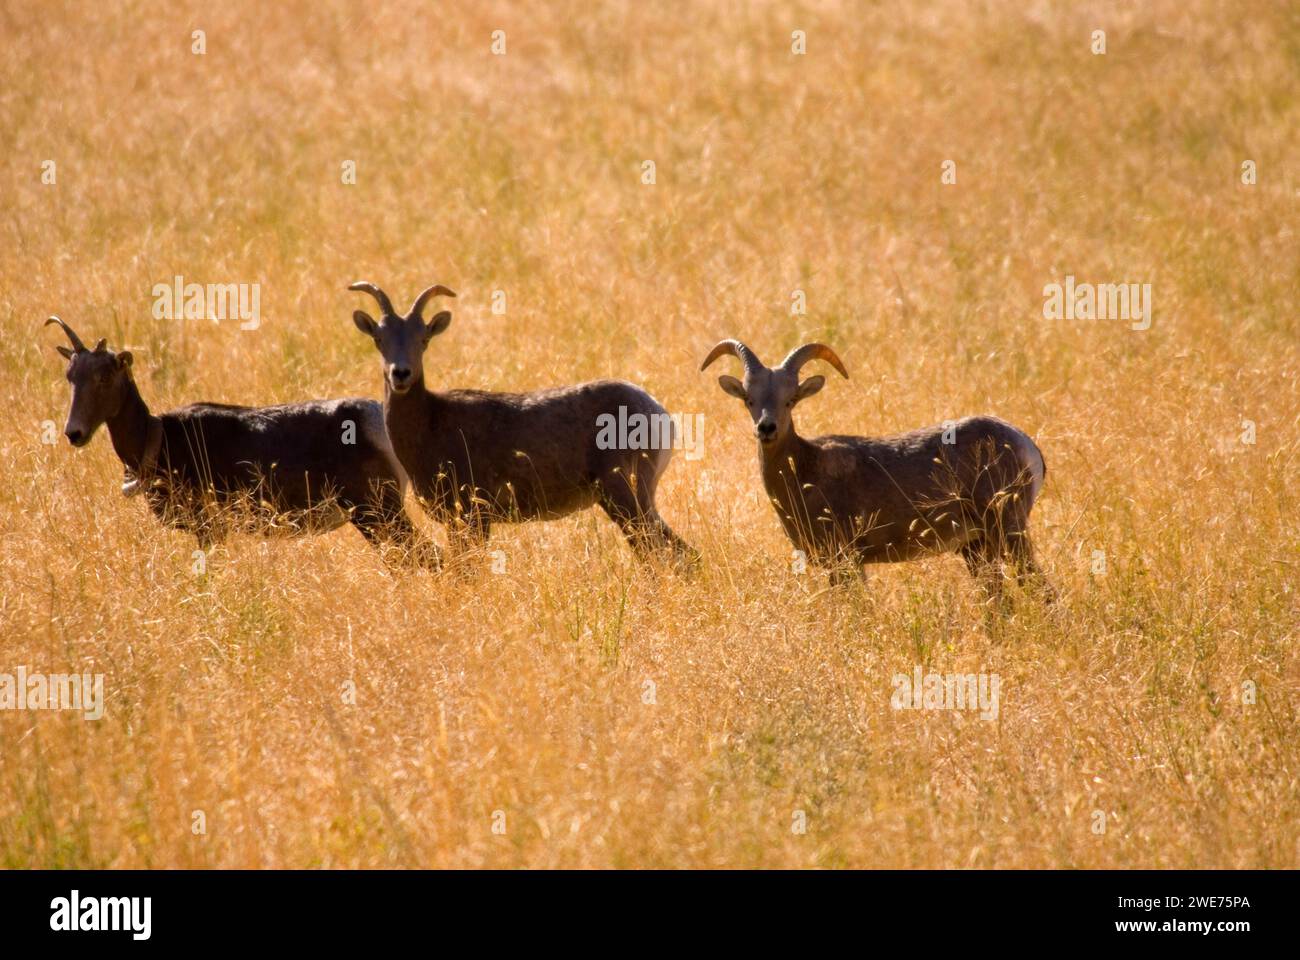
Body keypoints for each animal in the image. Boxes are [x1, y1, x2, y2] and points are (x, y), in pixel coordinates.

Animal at [45, 316, 439, 568]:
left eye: (105, 375)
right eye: (70, 375)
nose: (74, 432)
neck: (157, 437)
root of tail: (378, 420)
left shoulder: (210, 530)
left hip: (378, 512)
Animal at [348, 281, 697, 567]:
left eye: (424, 338)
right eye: (379, 338)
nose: (401, 374)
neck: (430, 425)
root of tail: (657, 412)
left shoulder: (473, 516)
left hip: (626, 500)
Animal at [701, 339, 1054, 605]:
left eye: (790, 400)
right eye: (749, 399)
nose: (766, 428)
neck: (803, 471)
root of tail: (1025, 445)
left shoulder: (846, 560)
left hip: (1009, 531)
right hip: (977, 548)